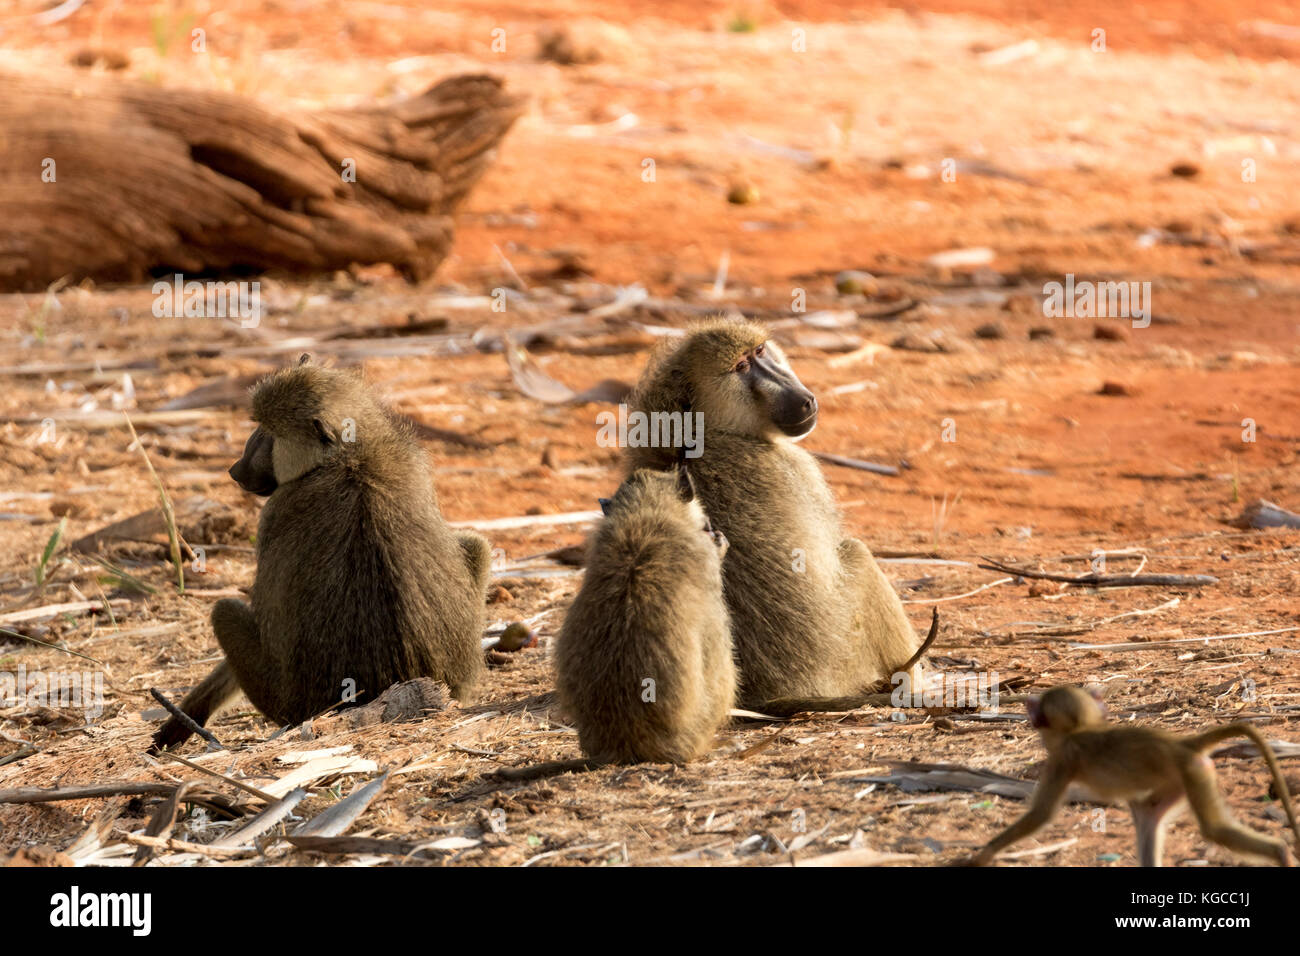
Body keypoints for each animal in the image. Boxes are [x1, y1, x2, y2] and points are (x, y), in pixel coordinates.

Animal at [152, 355, 492, 750]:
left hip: (287, 703)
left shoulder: (275, 511)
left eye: (268, 431)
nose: (236, 469)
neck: (350, 456)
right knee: (477, 546)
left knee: (225, 612)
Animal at [625, 318, 926, 714]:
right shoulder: (795, 467)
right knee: (857, 554)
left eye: (759, 352)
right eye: (740, 368)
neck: (705, 432)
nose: (804, 399)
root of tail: (776, 692)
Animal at [968, 685, 1300, 867]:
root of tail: (1181, 744)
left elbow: (1040, 815)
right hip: (1183, 777)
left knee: (1214, 829)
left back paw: (1281, 852)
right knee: (1147, 813)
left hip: (1192, 771)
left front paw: (983, 855)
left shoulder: (1061, 760)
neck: (1080, 729)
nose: (1028, 711)